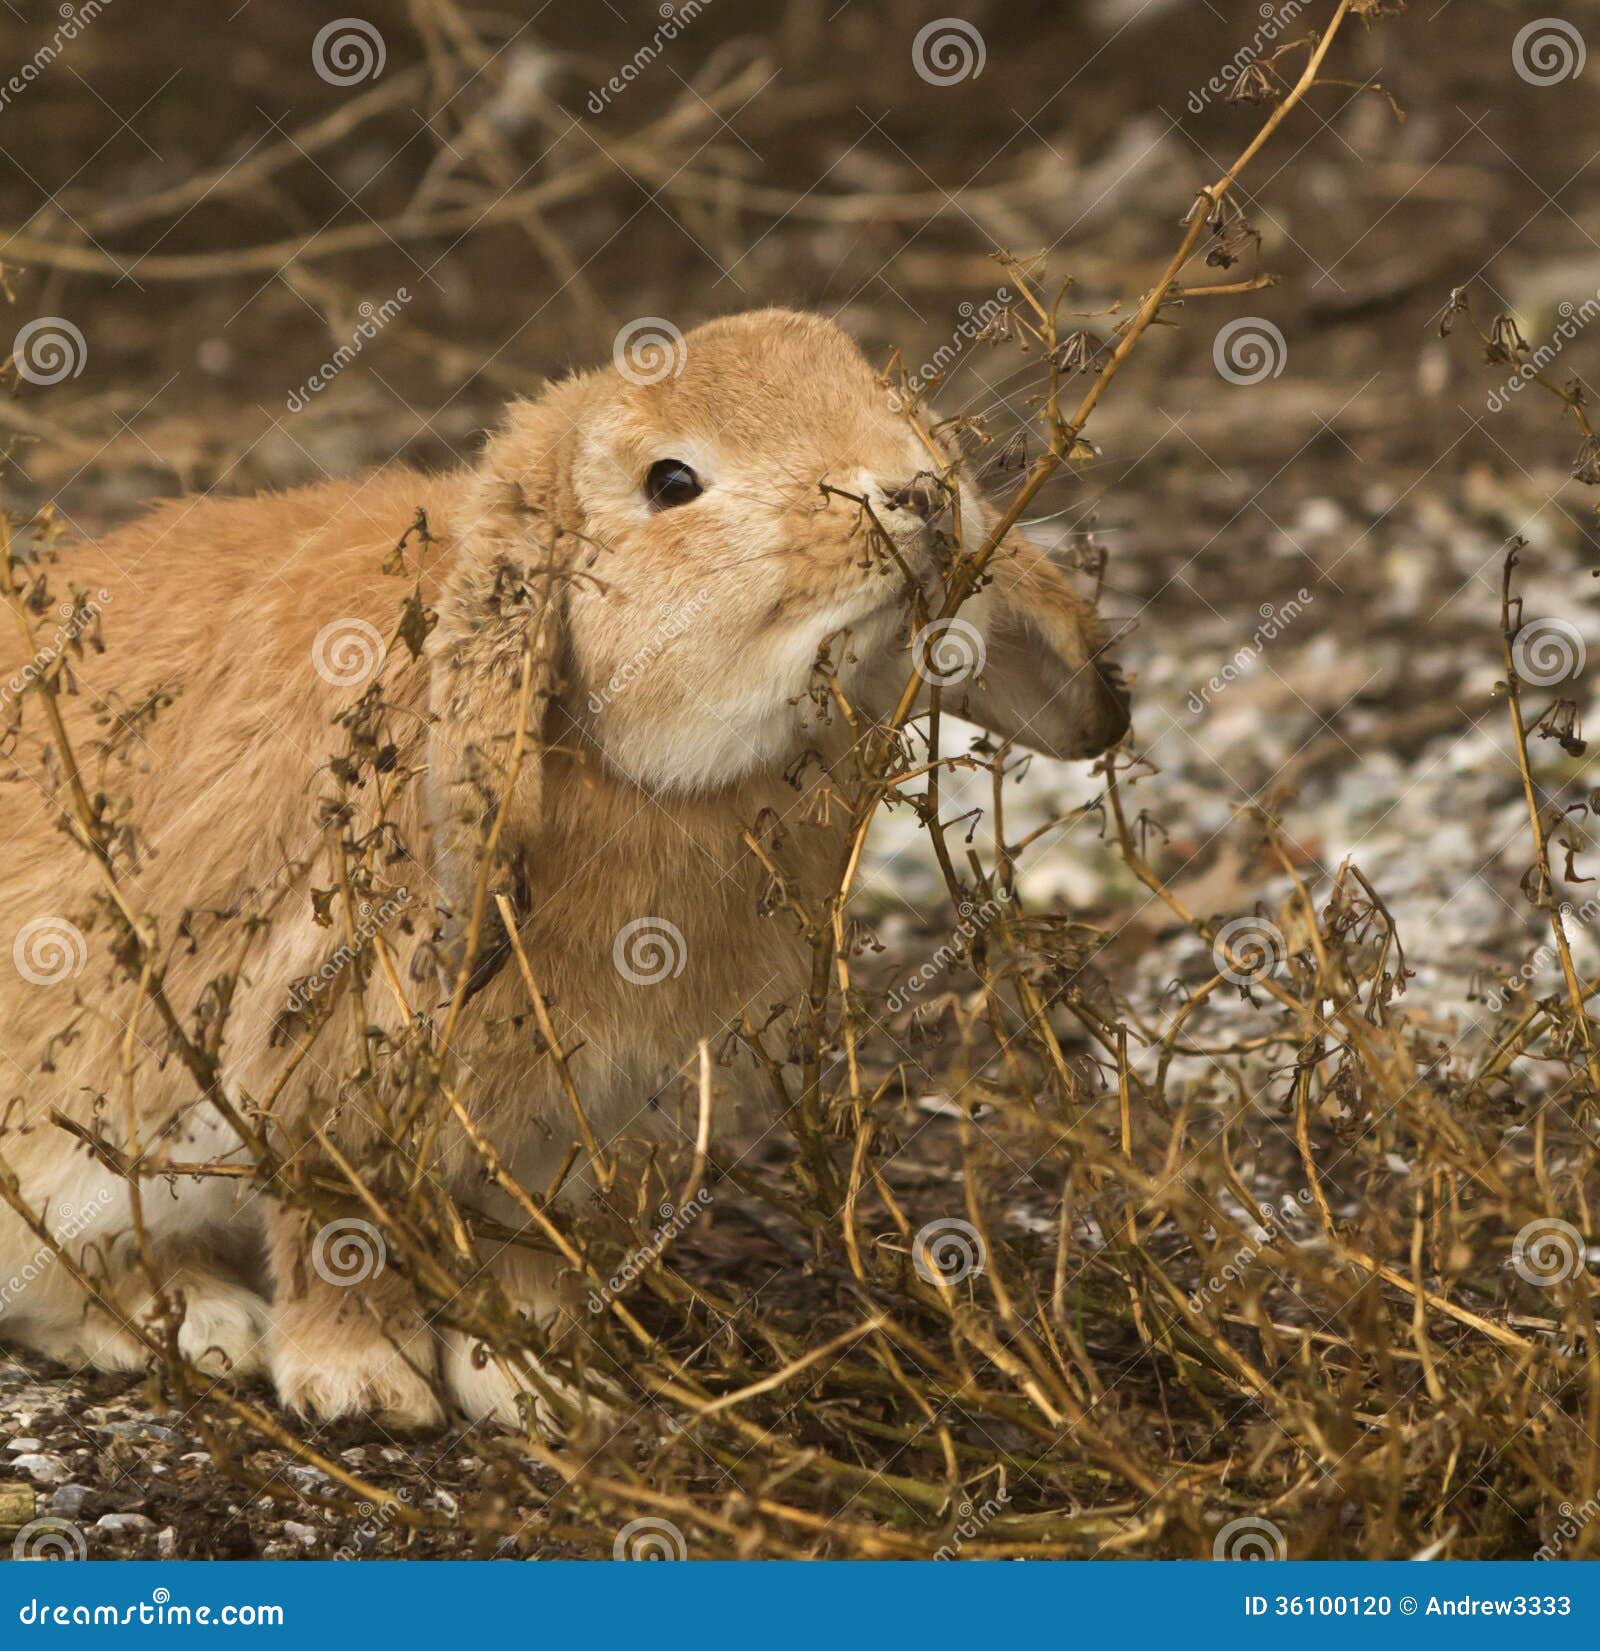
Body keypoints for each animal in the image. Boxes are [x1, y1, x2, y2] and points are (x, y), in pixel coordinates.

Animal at [0, 307, 1128, 1429]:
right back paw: (202, 1321)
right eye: (670, 482)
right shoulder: (321, 1069)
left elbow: (528, 1256)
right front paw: (364, 1385)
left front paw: (544, 1386)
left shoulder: (558, 1134)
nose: (919, 491)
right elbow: (337, 1237)